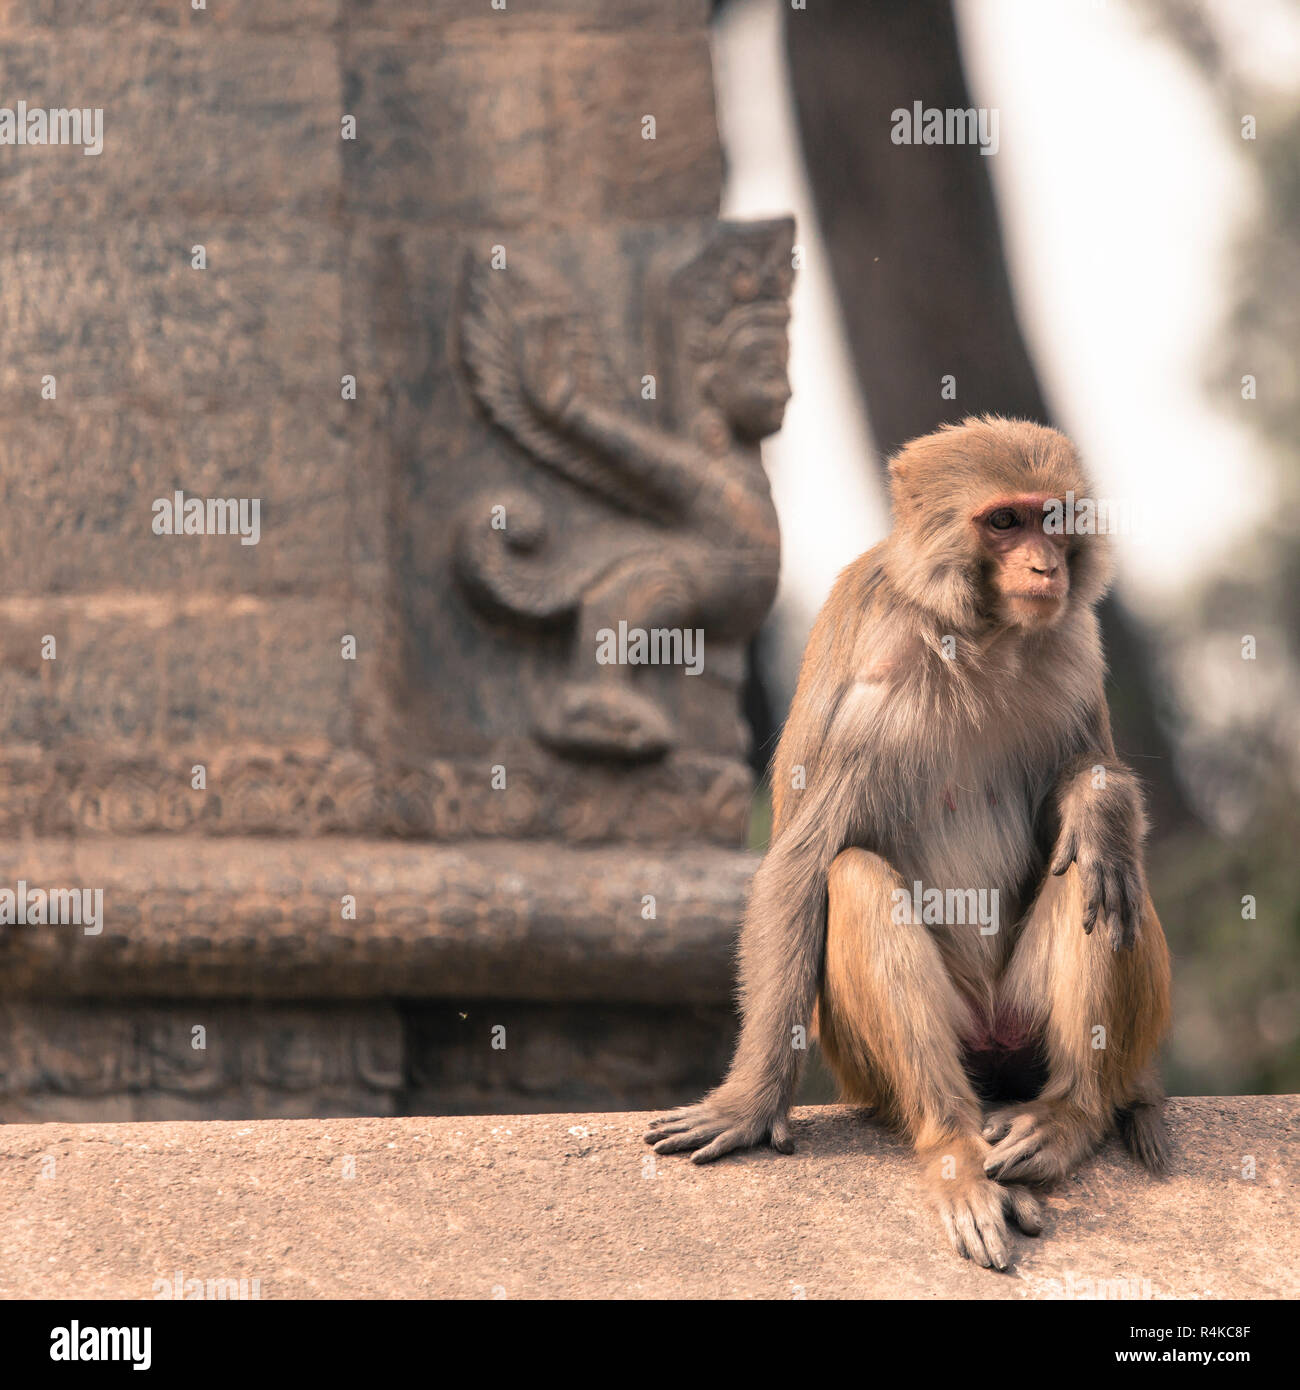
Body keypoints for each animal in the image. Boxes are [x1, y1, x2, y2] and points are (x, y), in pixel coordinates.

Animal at [645, 416, 1171, 1269]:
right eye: (1004, 522)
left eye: (1052, 519)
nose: (1045, 567)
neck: (981, 634)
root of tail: (992, 1039)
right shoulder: (877, 679)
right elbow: (802, 865)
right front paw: (749, 1103)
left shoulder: (1075, 644)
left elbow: (1087, 781)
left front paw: (1099, 805)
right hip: (882, 1062)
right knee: (855, 877)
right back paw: (954, 1152)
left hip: (1023, 1030)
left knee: (1103, 877)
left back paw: (1072, 1115)